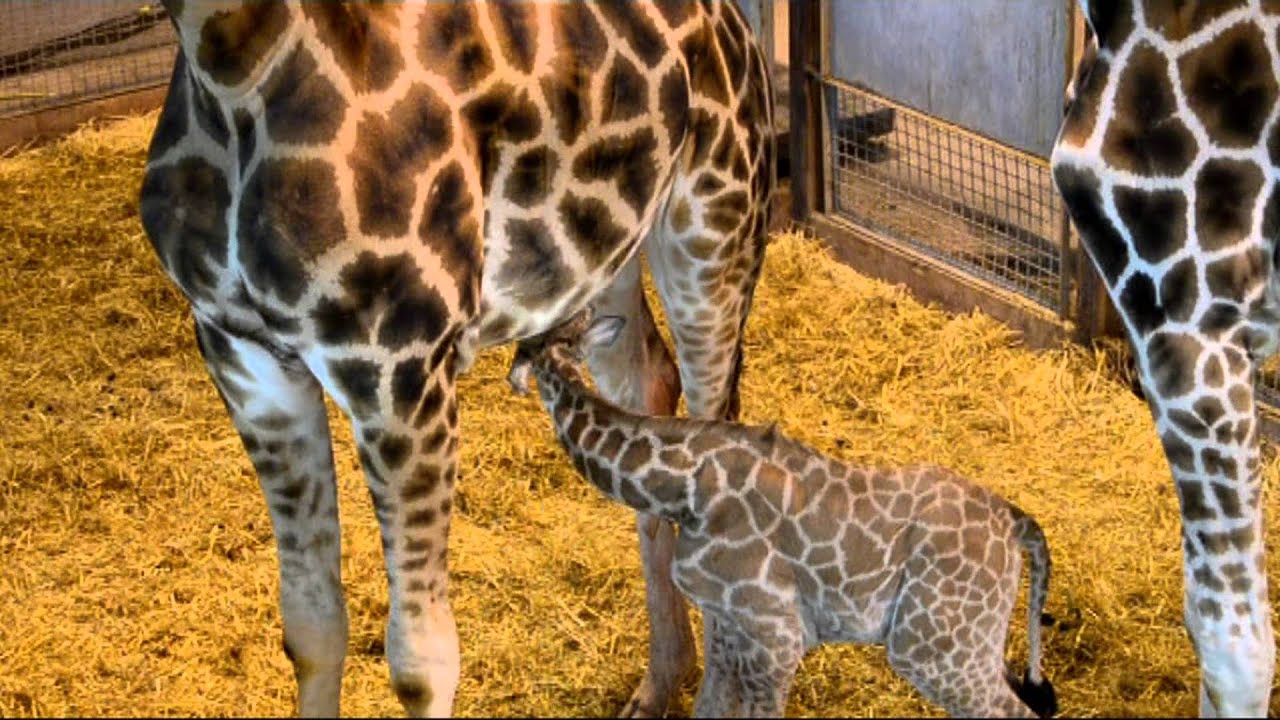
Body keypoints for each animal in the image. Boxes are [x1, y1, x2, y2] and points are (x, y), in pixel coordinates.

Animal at [137, 1, 774, 716]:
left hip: (714, 235)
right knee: (652, 398)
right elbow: (310, 626)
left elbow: (421, 665)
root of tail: (737, 28)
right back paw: (660, 682)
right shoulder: (245, 358)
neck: (230, 67)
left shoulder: (400, 372)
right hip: (606, 263)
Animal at [508, 310, 1059, 719]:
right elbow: (709, 709)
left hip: (933, 649)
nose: (511, 379)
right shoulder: (730, 624)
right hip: (975, 645)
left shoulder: (776, 634)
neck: (679, 488)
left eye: (521, 352)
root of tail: (1018, 525)